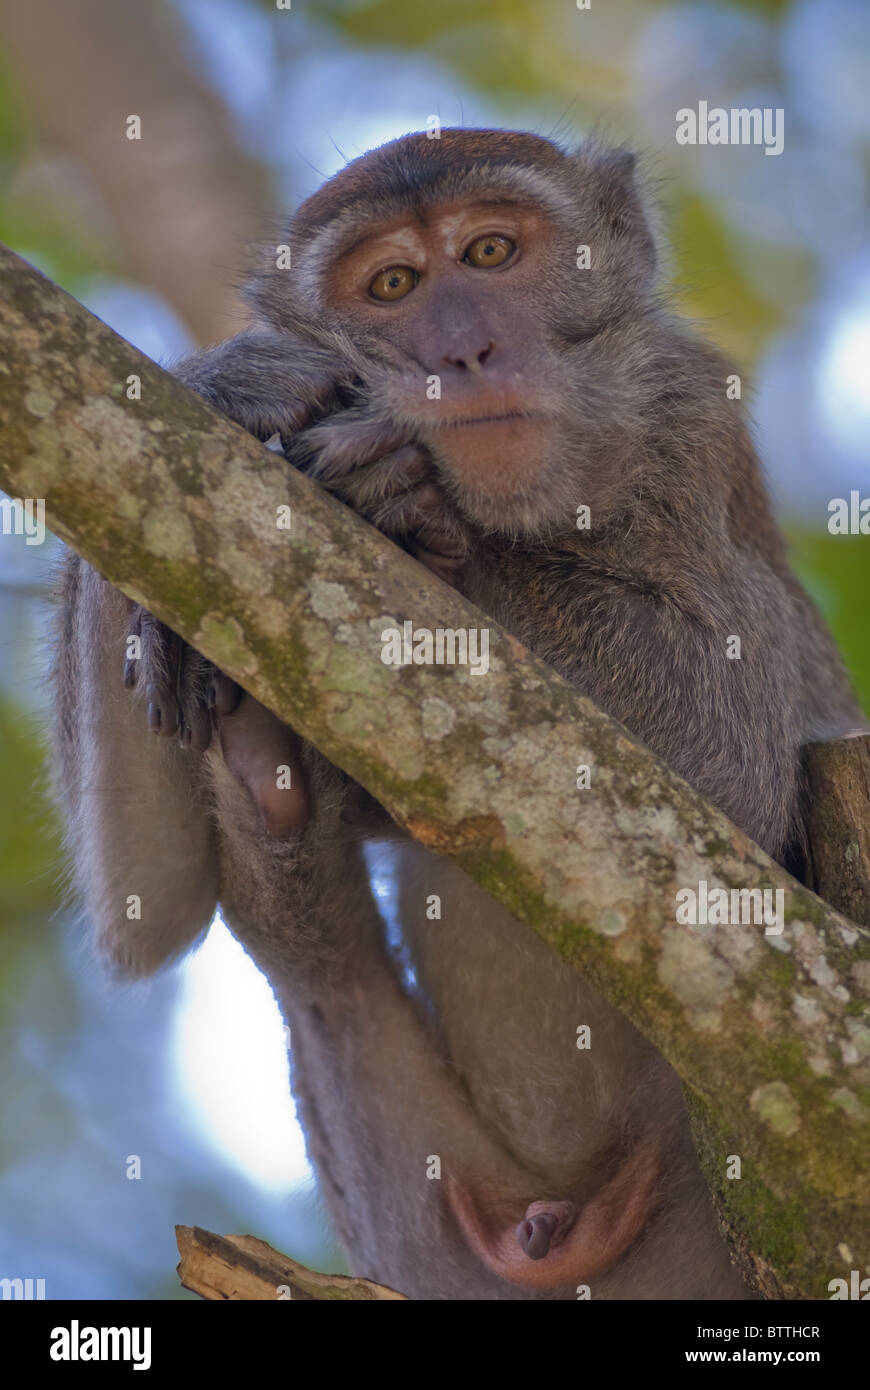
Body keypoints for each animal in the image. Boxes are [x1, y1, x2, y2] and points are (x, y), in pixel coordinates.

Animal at [53, 129, 866, 1300]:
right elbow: (145, 911)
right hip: (435, 1237)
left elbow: (734, 755)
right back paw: (271, 797)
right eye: (393, 286)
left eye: (490, 252)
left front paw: (407, 506)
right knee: (323, 974)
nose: (465, 351)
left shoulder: (689, 423)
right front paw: (221, 388)